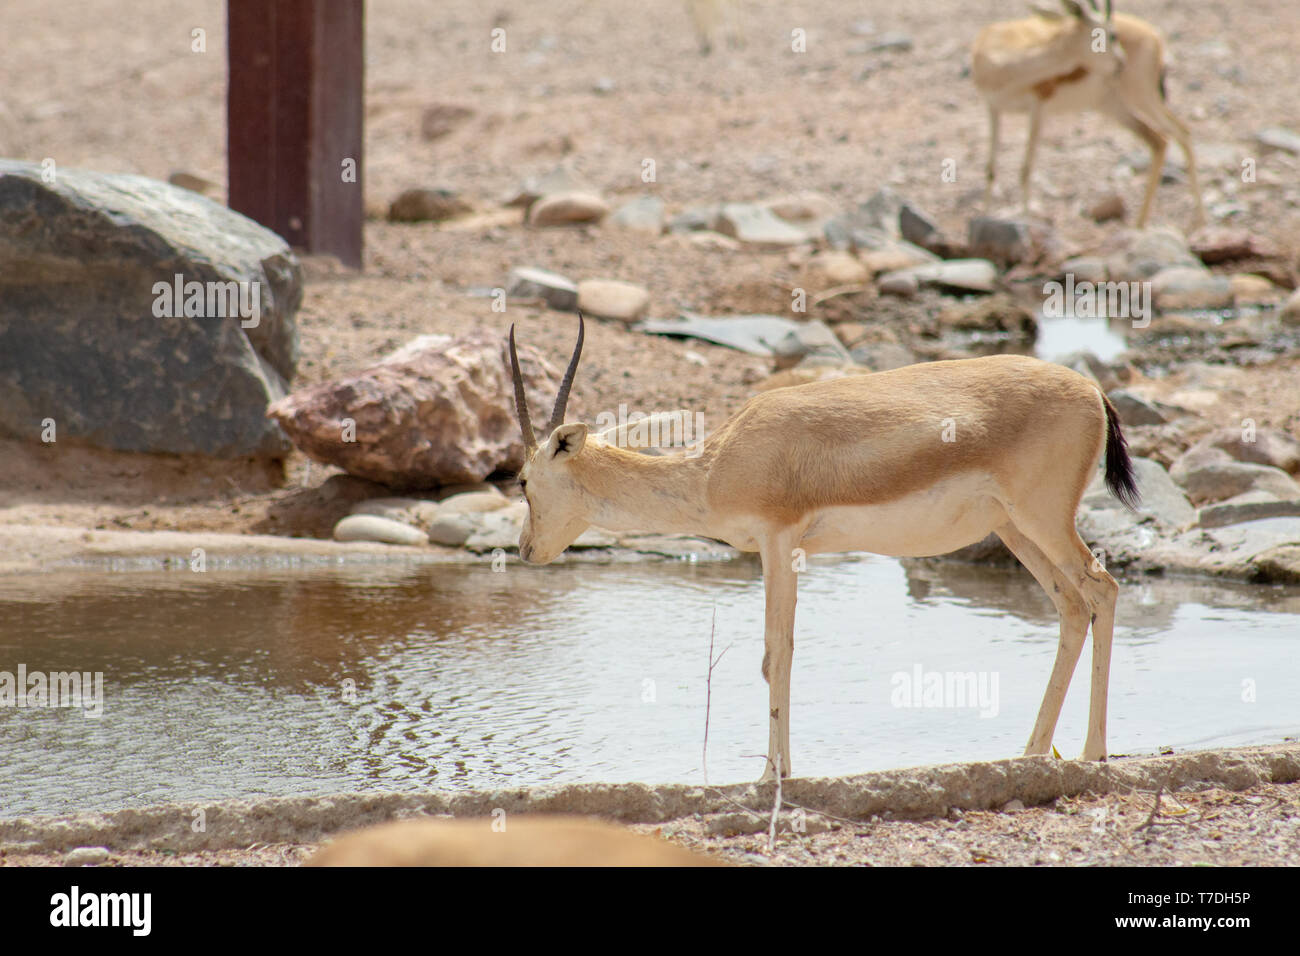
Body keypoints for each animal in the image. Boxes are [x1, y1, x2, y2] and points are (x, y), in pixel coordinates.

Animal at [508, 315, 1139, 780]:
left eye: (521, 480)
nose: (524, 551)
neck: (716, 468)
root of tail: (1092, 389)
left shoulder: (778, 542)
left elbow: (776, 653)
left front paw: (773, 774)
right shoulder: (781, 549)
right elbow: (780, 653)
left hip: (1043, 520)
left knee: (1102, 590)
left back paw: (1093, 752)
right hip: (1015, 530)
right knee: (1070, 606)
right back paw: (1029, 752)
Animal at [973, 0, 1205, 229]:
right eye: (1112, 35)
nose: (1121, 63)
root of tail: (1154, 34)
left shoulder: (1038, 107)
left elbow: (1026, 169)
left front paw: (1025, 221)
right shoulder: (992, 107)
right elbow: (990, 170)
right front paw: (984, 216)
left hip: (1142, 97)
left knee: (1180, 131)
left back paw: (1197, 221)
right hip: (1113, 105)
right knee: (1158, 140)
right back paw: (1141, 223)